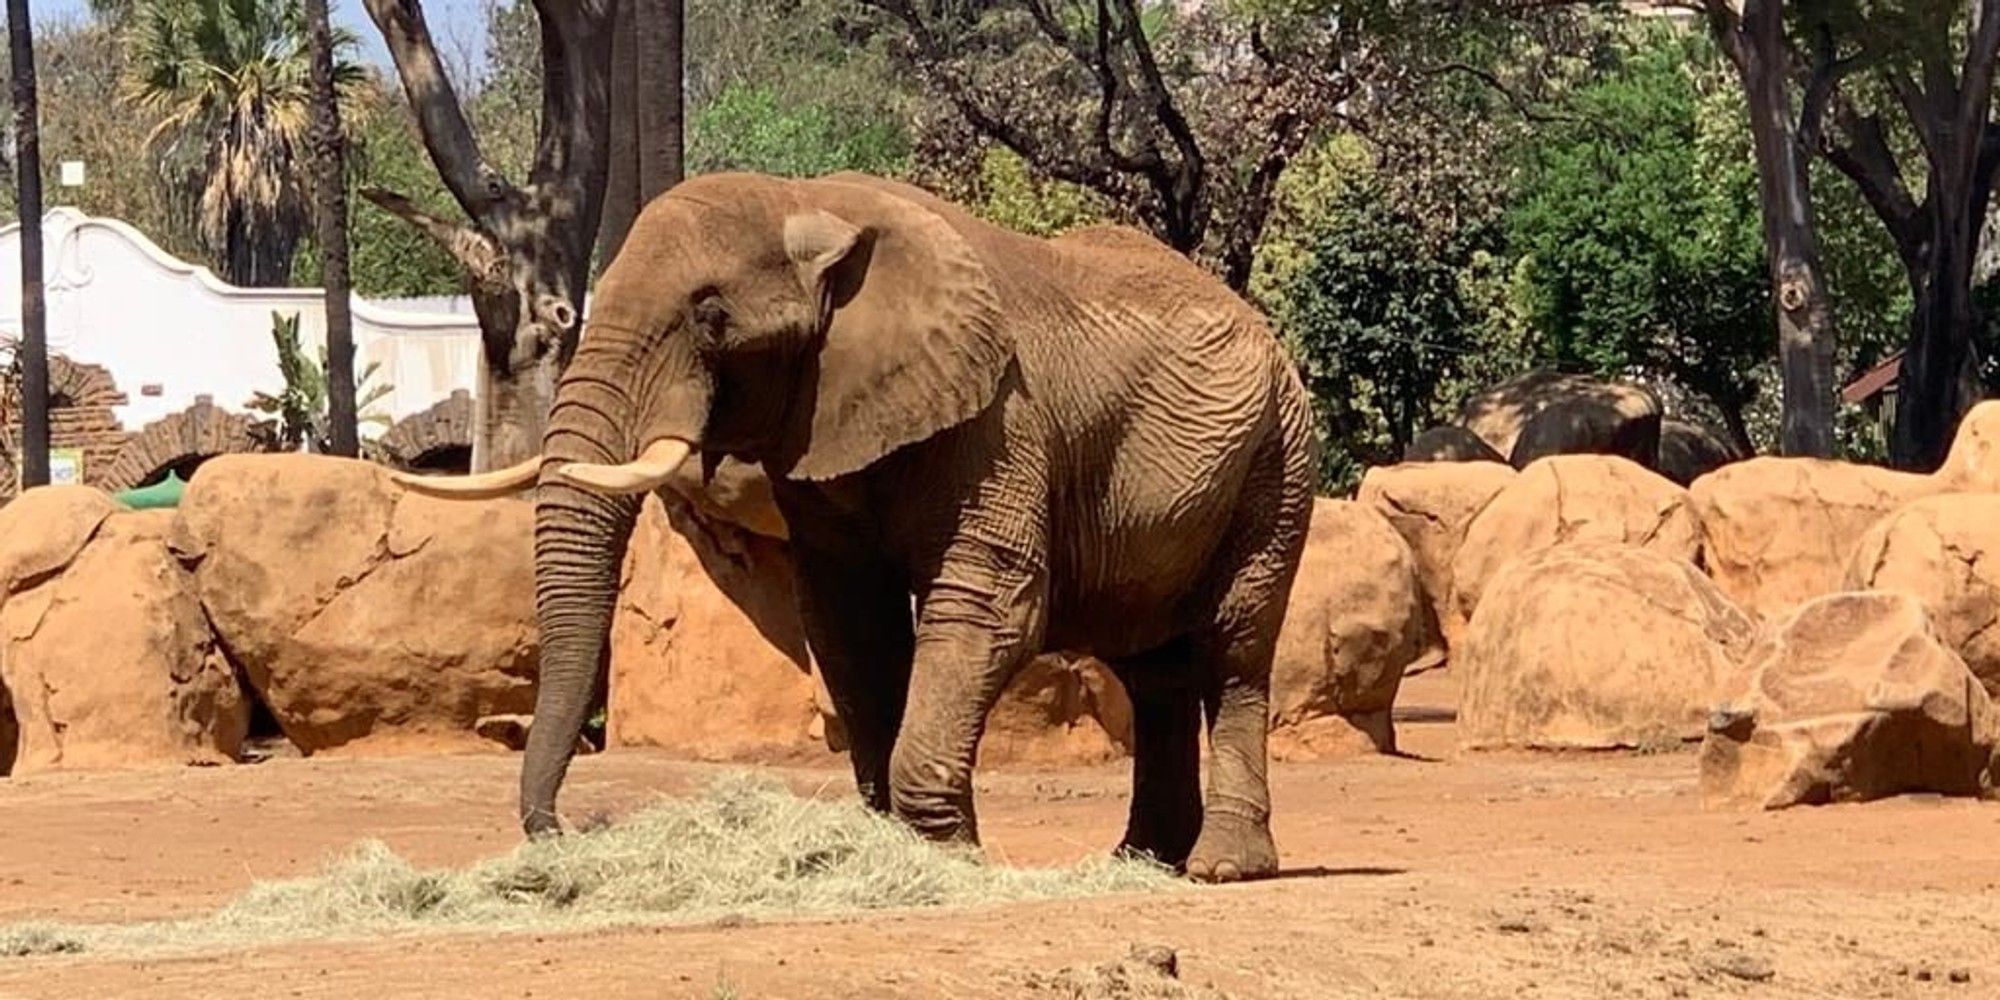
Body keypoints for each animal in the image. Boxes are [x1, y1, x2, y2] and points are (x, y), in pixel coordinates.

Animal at [394, 171, 1318, 882]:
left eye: (710, 317)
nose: (561, 833)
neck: (806, 203)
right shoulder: (824, 425)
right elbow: (850, 624)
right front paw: (899, 849)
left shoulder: (1000, 420)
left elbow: (987, 608)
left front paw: (945, 859)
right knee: (1153, 668)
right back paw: (1140, 863)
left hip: (1277, 461)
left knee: (1232, 652)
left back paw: (1222, 867)